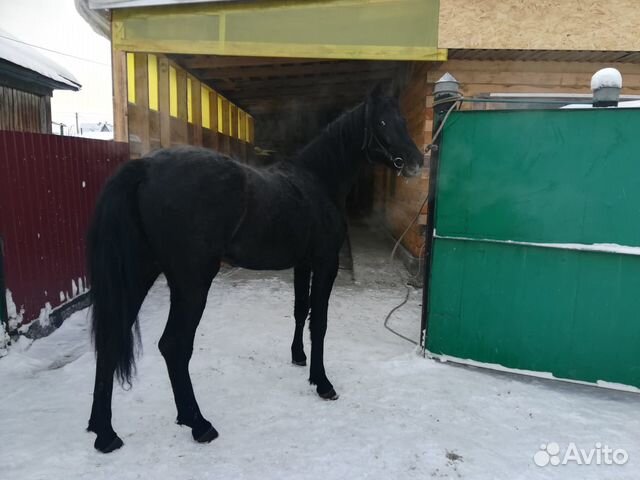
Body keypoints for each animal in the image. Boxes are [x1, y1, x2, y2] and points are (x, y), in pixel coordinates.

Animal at [86, 85, 424, 453]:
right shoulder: (325, 264)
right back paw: (198, 424)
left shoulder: (303, 264)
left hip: (139, 275)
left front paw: (298, 358)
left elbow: (300, 311)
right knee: (173, 346)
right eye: (381, 122)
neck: (317, 182)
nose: (416, 162)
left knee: (111, 340)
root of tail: (145, 167)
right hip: (192, 283)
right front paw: (322, 382)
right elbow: (319, 322)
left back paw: (105, 433)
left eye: (403, 119)